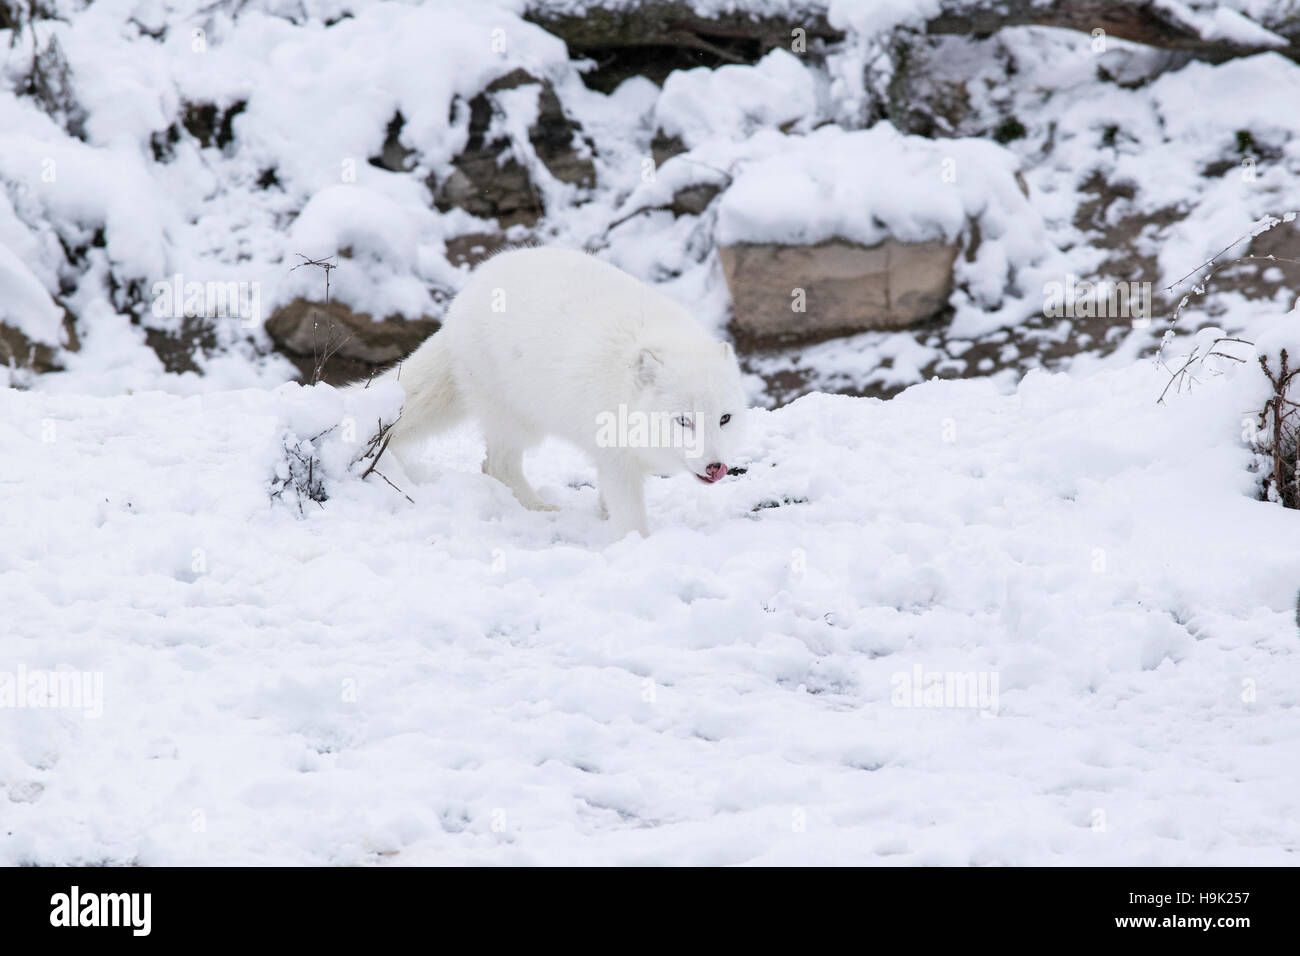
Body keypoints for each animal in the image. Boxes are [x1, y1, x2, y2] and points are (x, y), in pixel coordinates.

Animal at [362, 246, 747, 537]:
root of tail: (462, 298)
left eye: (724, 419)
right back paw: (539, 509)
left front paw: (605, 518)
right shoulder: (616, 456)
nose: (716, 467)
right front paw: (638, 546)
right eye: (683, 421)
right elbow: (630, 515)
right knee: (496, 465)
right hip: (516, 420)